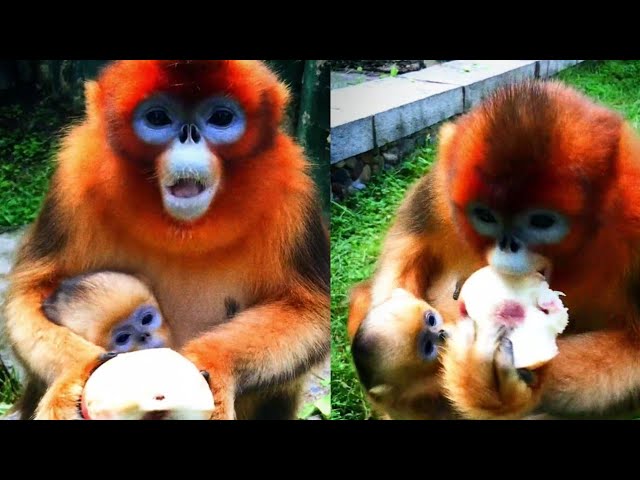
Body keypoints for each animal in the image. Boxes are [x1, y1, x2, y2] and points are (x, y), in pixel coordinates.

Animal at [348, 79, 640, 420]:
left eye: (541, 221)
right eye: (486, 216)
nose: (508, 246)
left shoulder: (632, 227)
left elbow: (633, 350)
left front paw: (491, 388)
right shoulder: (438, 190)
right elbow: (404, 247)